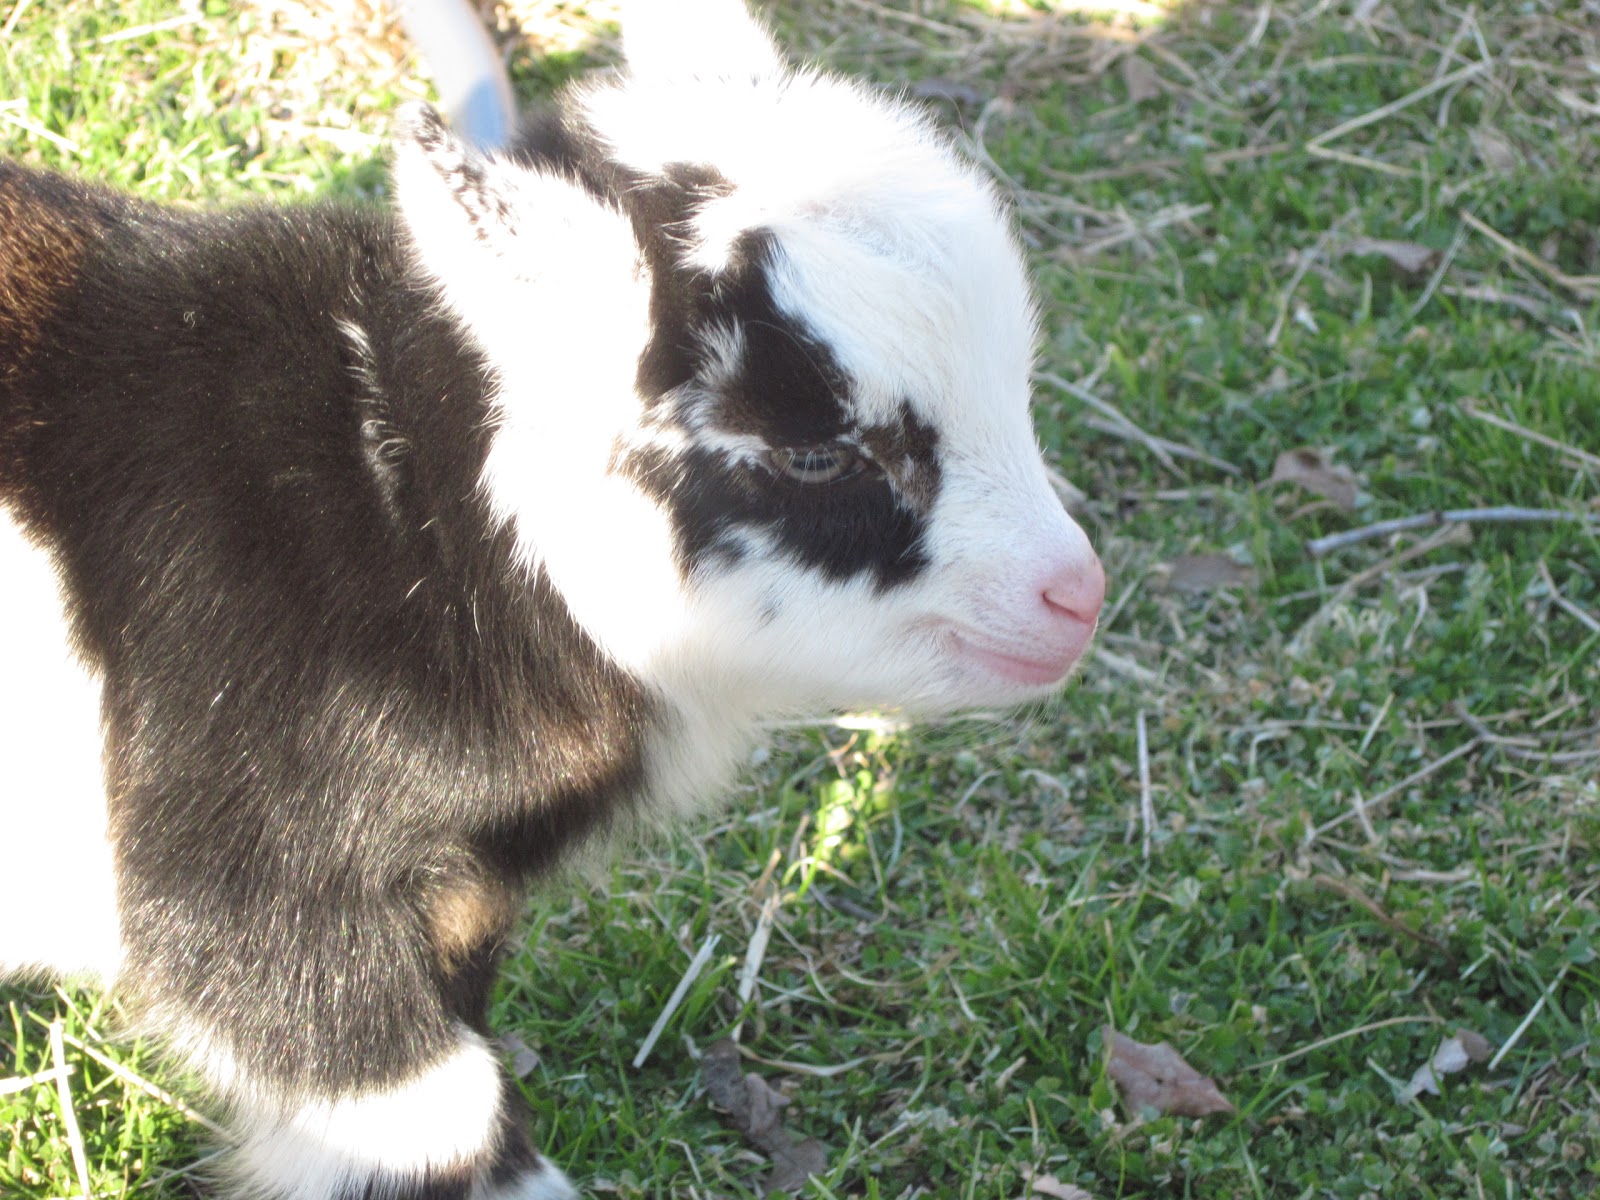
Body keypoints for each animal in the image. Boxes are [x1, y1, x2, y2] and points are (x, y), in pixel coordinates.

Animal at [0, 2, 1104, 1195]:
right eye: (813, 453)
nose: (1074, 597)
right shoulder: (255, 903)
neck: (401, 513)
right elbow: (436, 1129)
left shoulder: (453, 907)